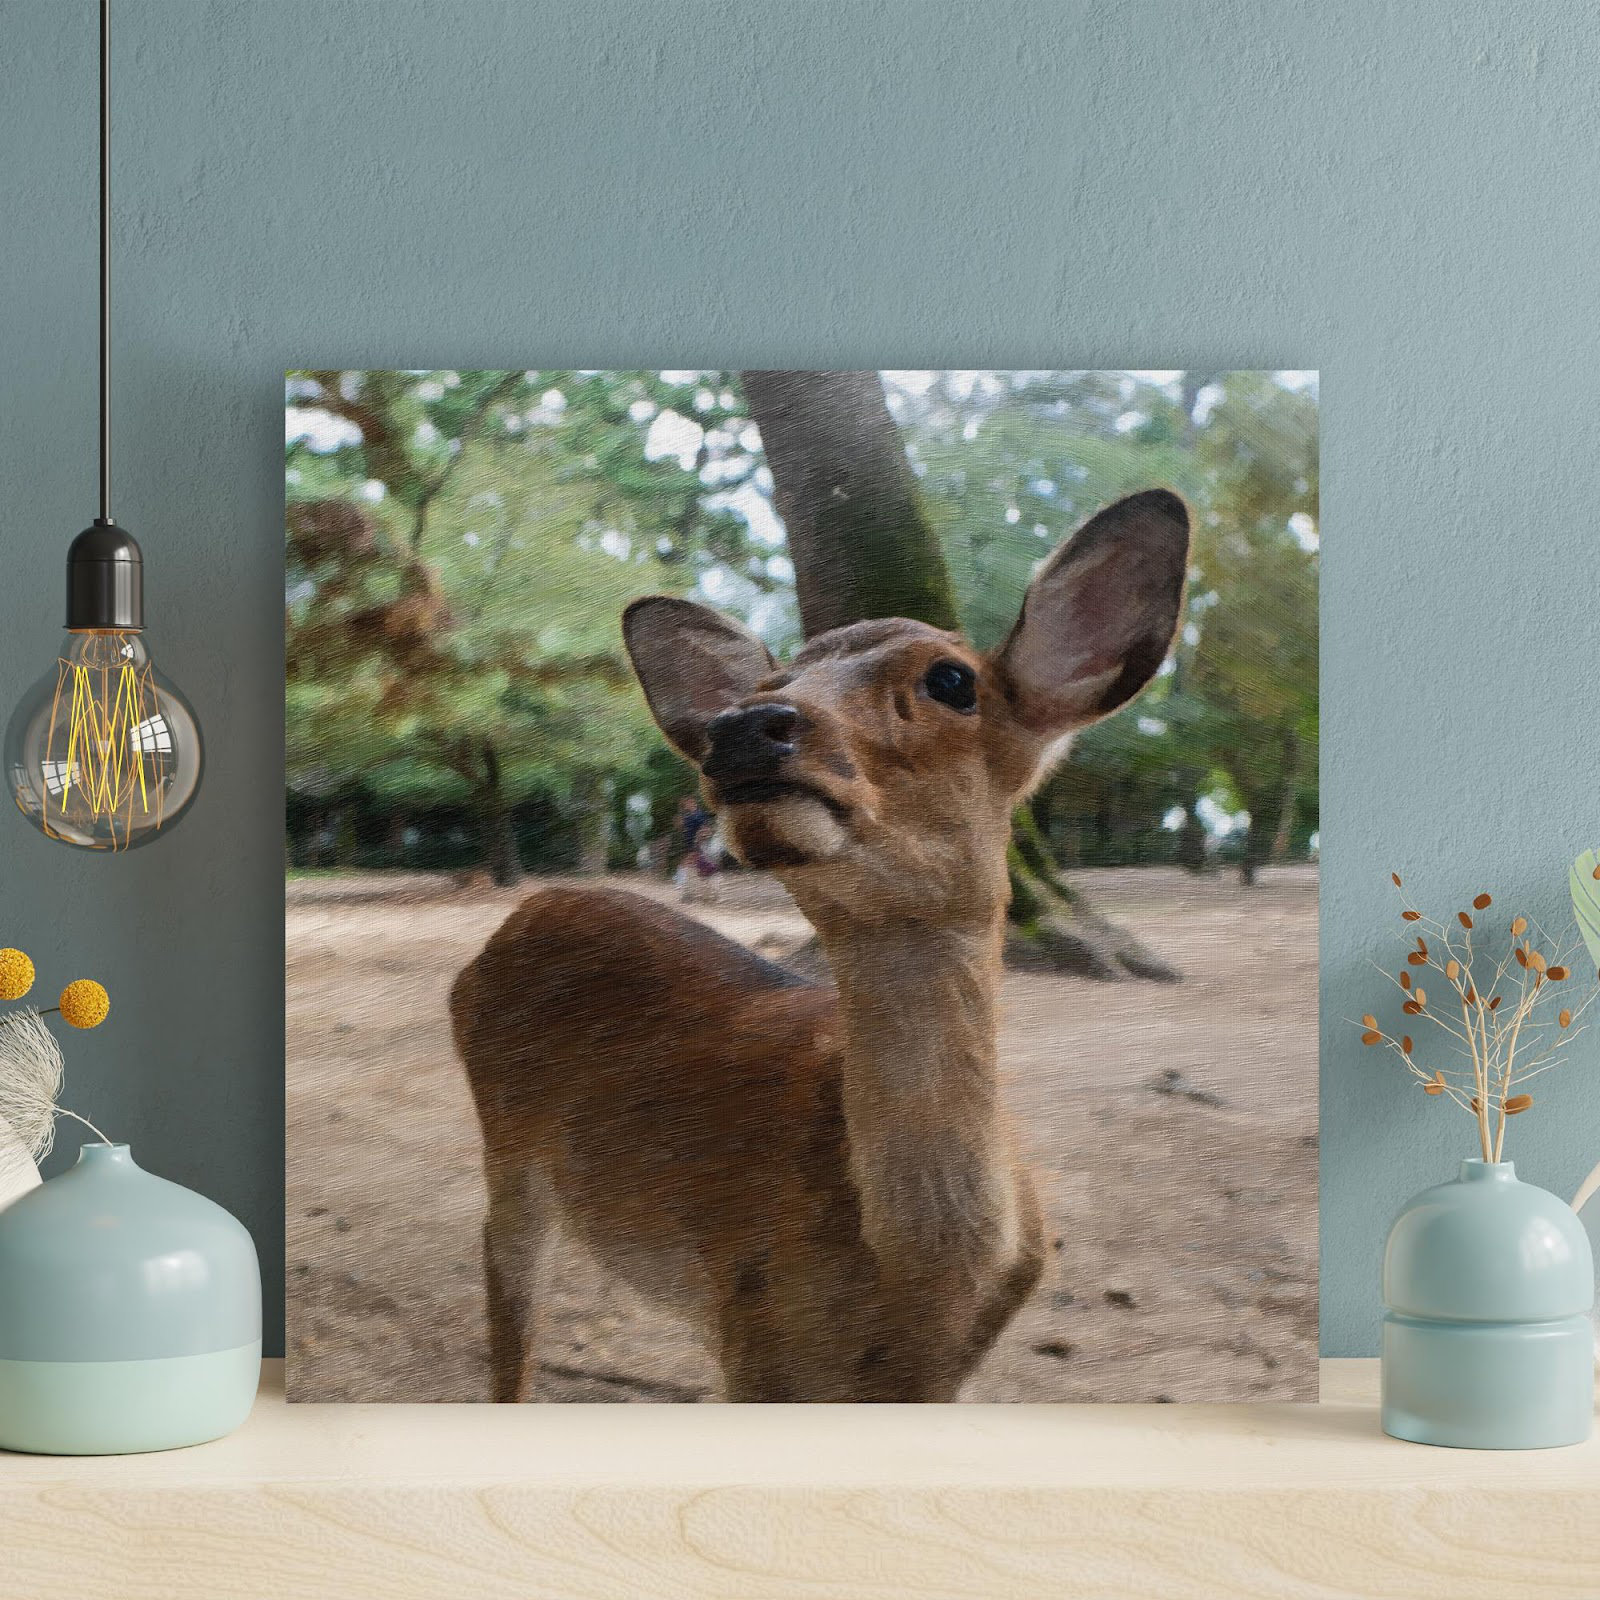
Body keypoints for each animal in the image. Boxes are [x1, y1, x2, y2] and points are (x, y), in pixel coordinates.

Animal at [450, 488, 1191, 1402]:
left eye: (953, 679)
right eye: (774, 681)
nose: (742, 728)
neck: (922, 1286)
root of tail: (523, 915)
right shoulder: (750, 1336)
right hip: (509, 1149)